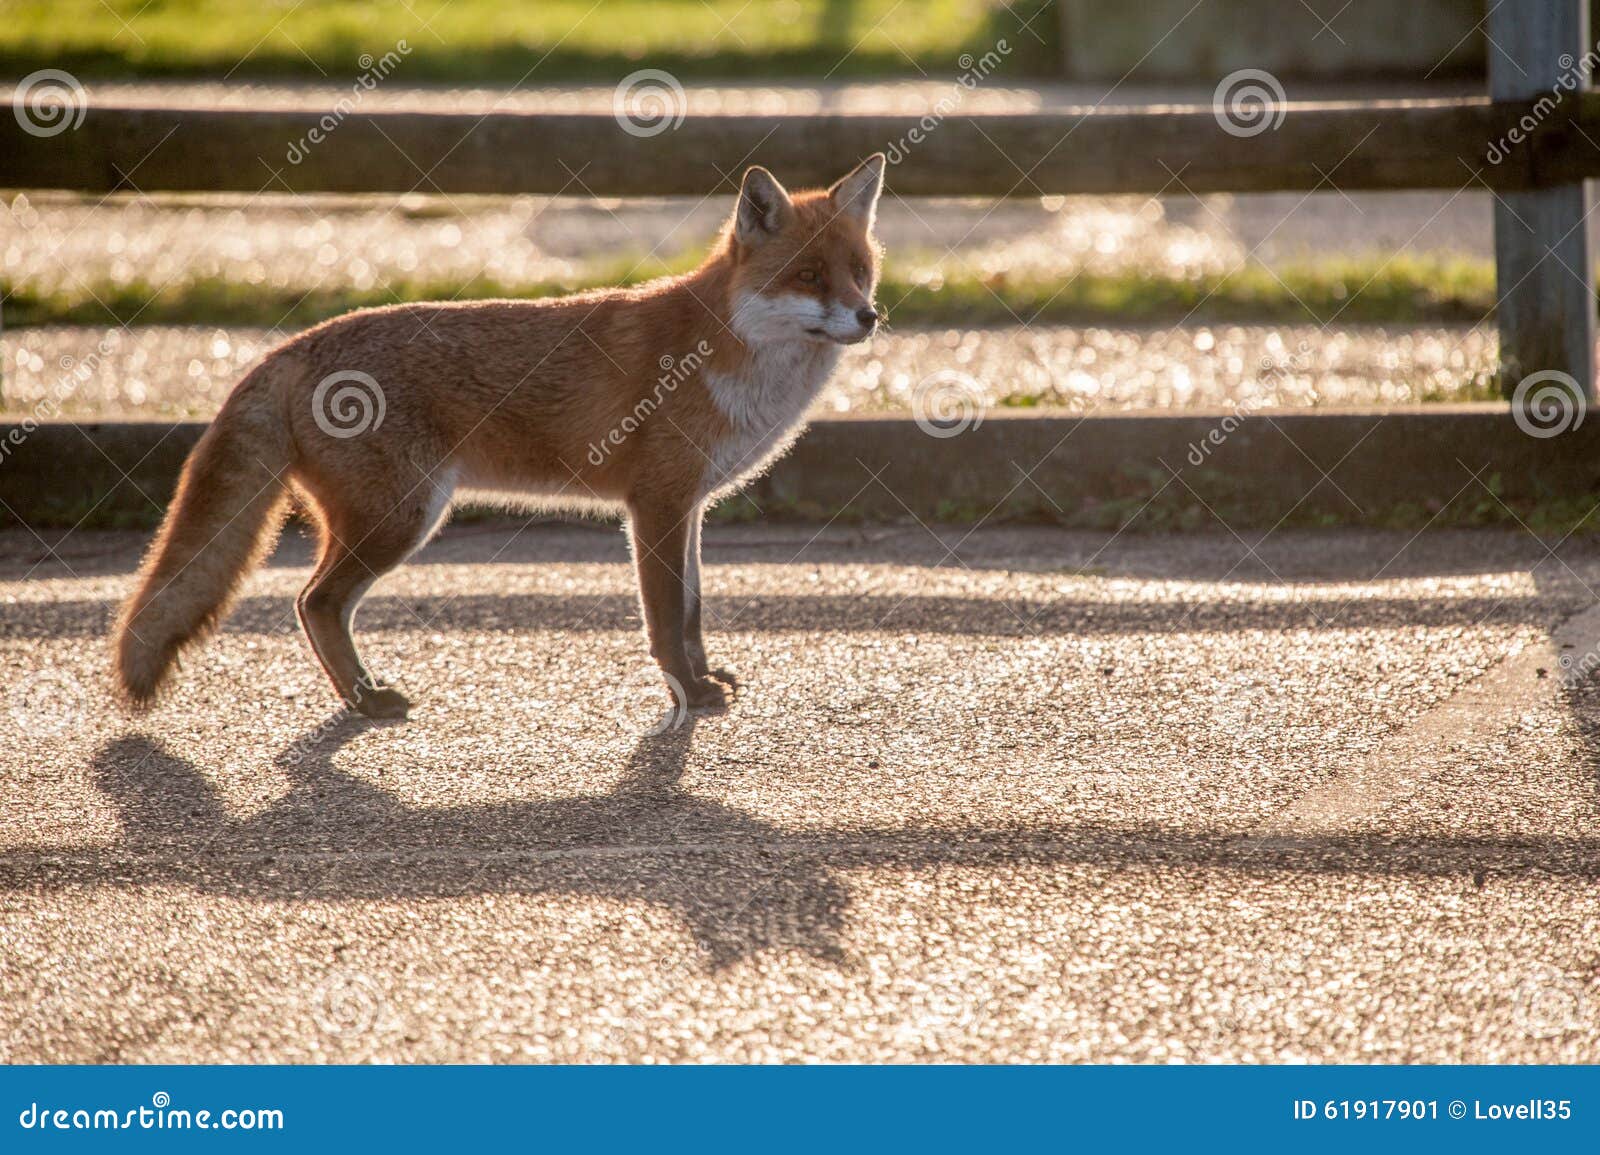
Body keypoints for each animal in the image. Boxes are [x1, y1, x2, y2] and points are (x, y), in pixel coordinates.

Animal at [112, 155, 887, 721]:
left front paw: (702, 677)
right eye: (809, 276)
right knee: (314, 603)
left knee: (313, 603)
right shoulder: (656, 504)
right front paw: (689, 696)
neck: (726, 356)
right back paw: (365, 701)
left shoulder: (687, 507)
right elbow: (667, 619)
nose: (869, 316)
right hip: (401, 518)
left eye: (860, 272)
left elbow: (692, 612)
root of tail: (291, 345)